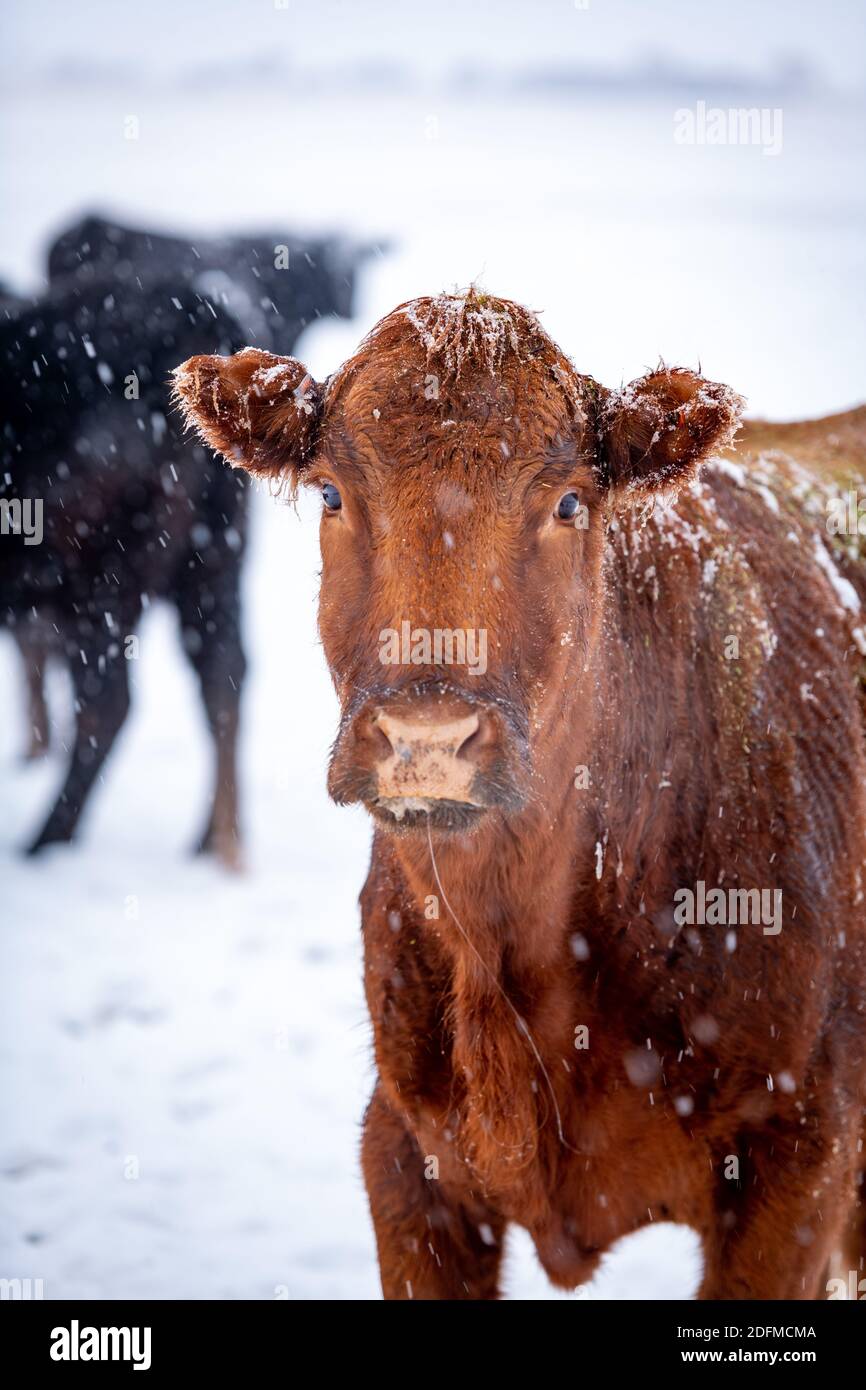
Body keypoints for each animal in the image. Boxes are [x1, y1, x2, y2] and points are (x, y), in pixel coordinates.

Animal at [1, 226, 371, 864]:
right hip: (209, 557)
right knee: (222, 672)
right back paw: (212, 843)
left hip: (100, 575)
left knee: (108, 702)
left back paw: (44, 844)